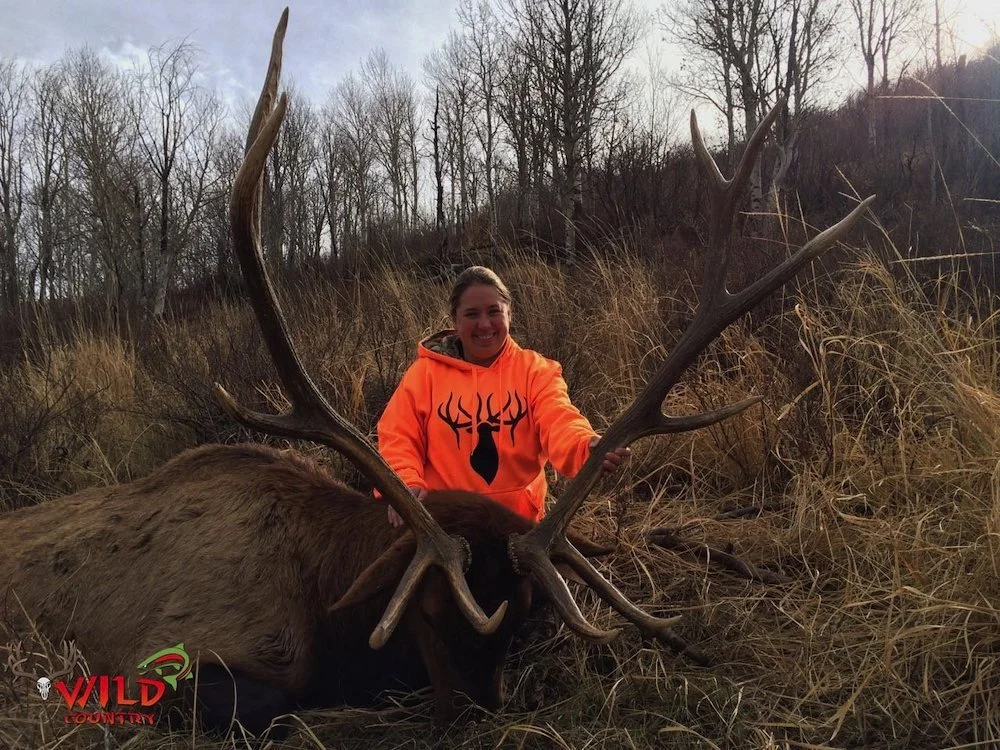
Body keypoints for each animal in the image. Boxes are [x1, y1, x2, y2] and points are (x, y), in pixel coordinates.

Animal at [0, 7, 874, 738]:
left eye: (523, 615)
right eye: (422, 616)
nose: (475, 713)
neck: (323, 600)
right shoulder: (169, 646)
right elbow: (264, 705)